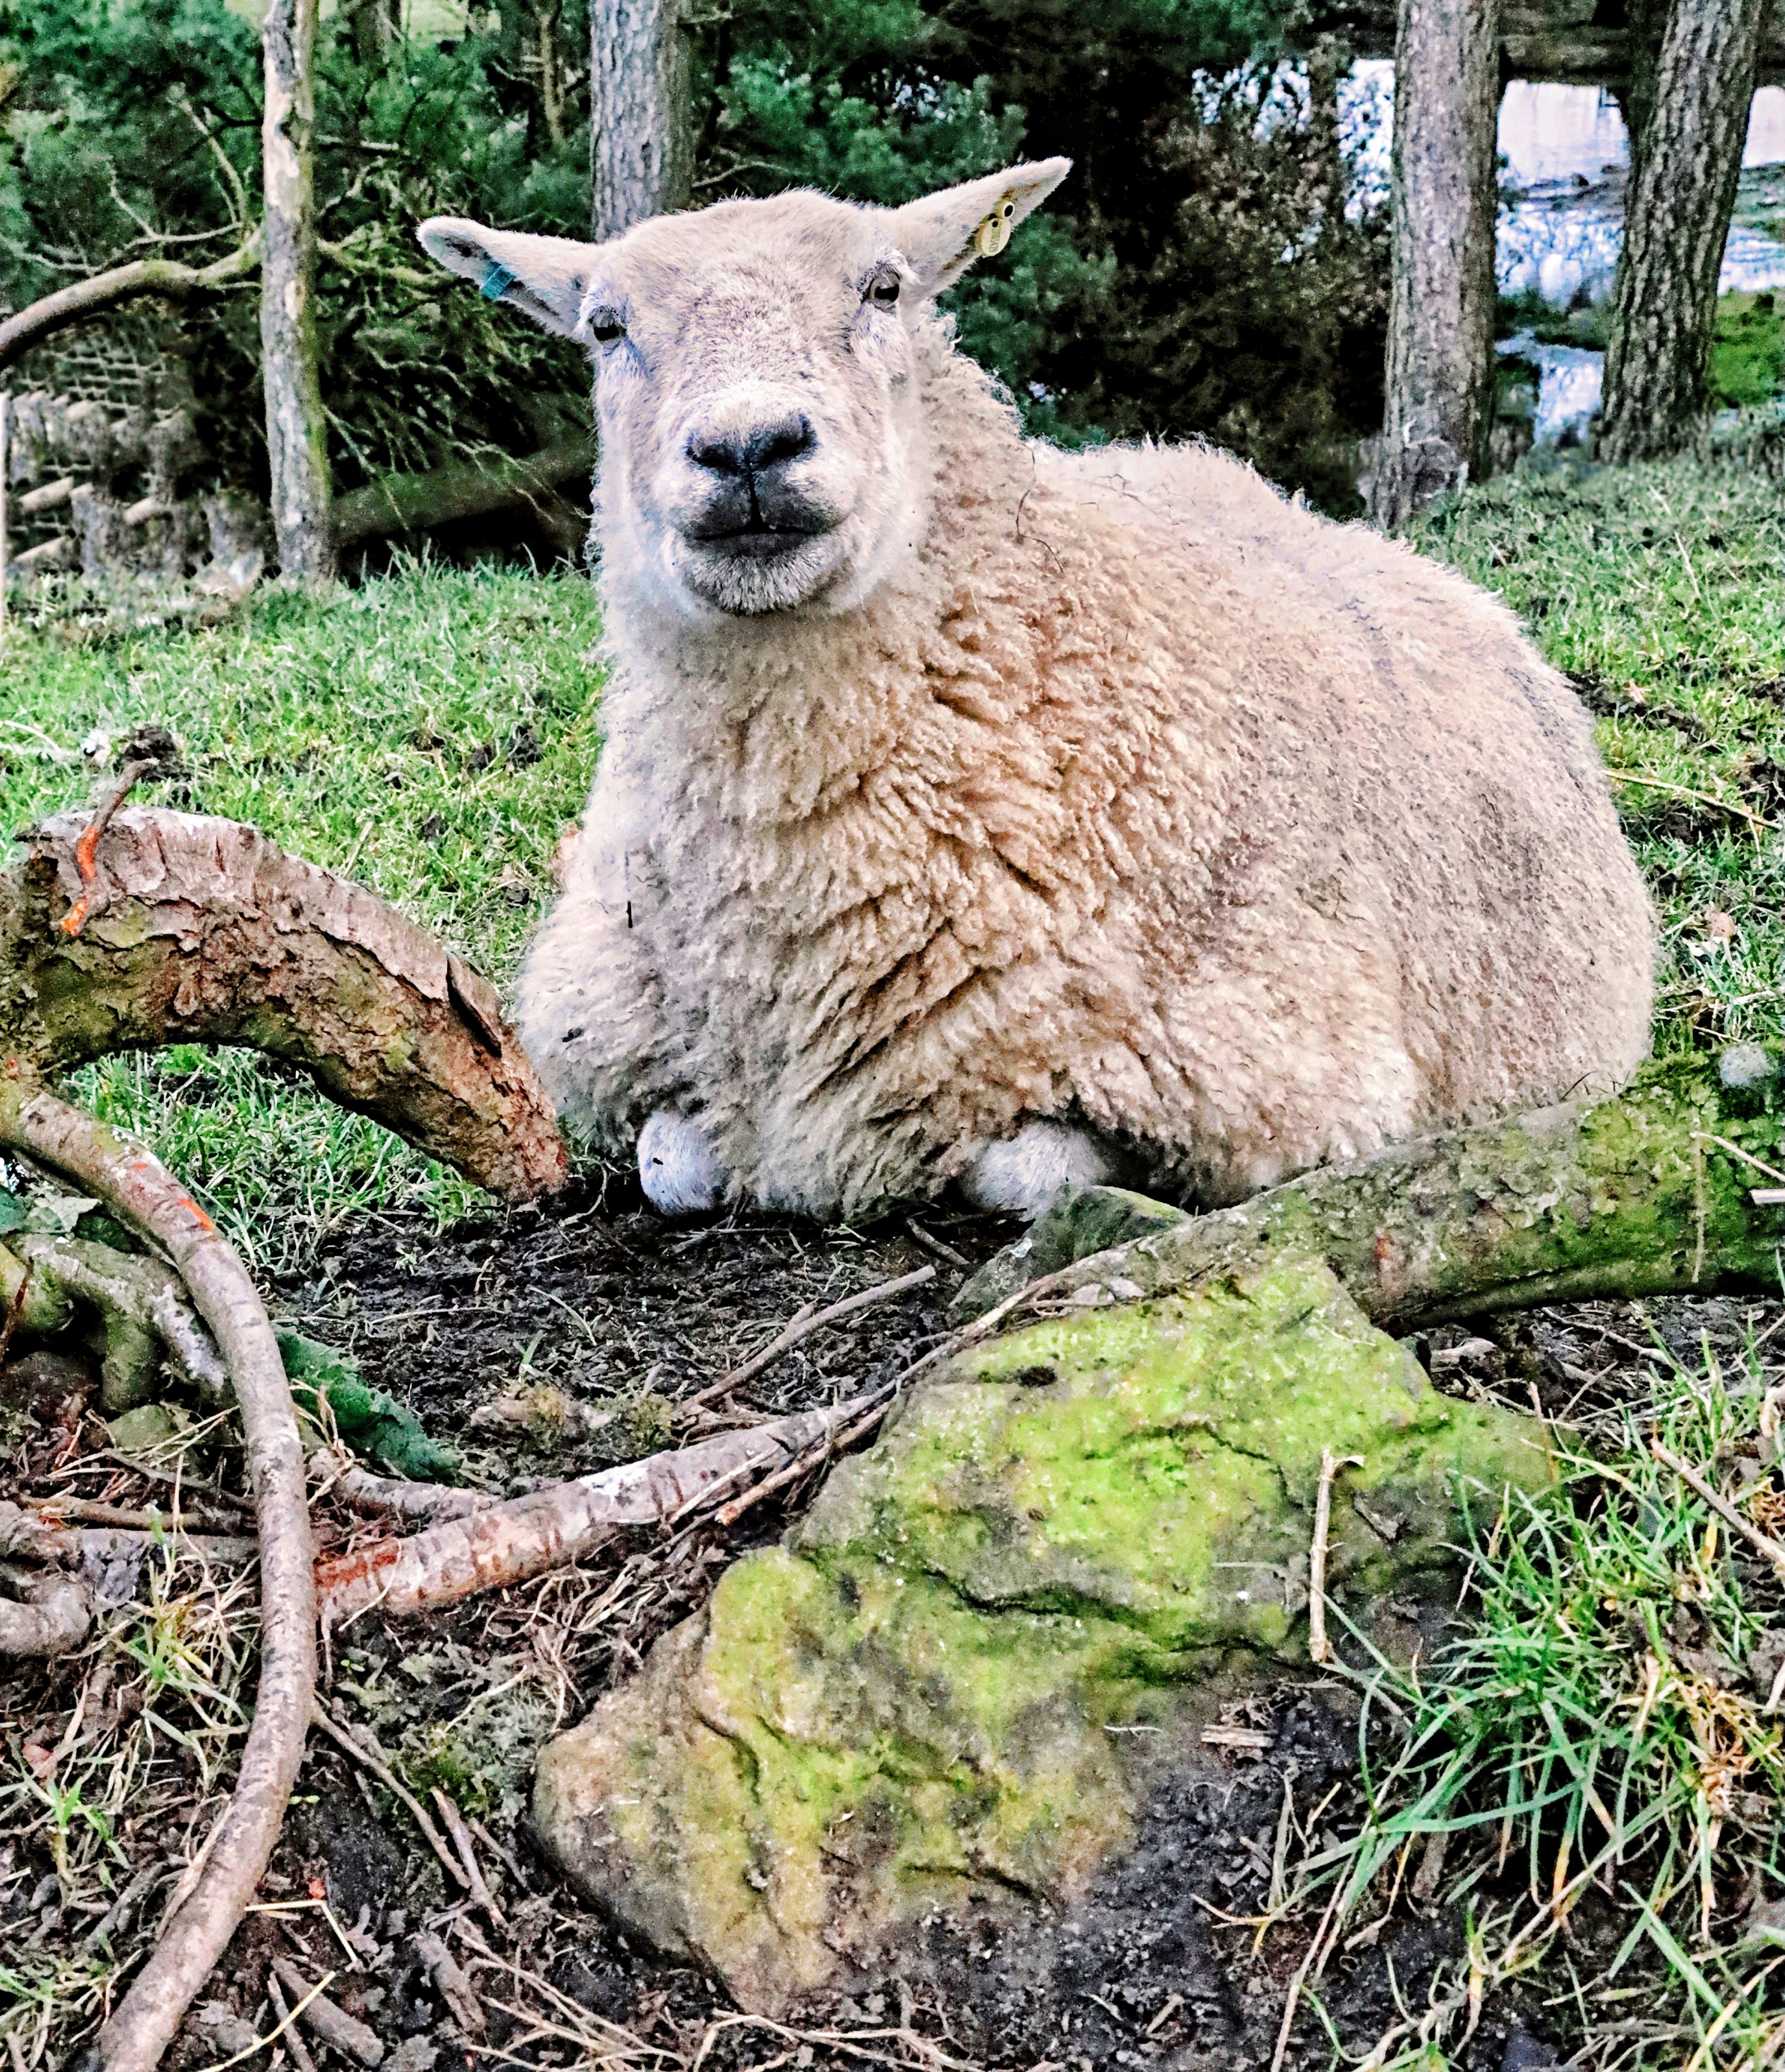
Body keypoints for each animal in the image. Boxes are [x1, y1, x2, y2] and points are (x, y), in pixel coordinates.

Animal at [418, 160, 1656, 1220]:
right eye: (606, 327)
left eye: (884, 287)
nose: (749, 447)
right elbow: (672, 1161)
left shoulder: (1291, 1084)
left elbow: (1025, 1170)